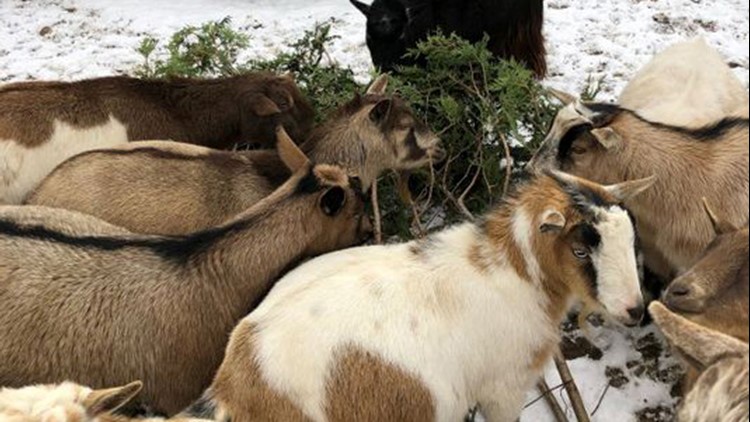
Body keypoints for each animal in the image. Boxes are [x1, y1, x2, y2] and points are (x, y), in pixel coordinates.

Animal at [180, 171, 653, 422]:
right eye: (580, 251)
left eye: (631, 237)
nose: (635, 310)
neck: (511, 273)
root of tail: (236, 382)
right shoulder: (502, 388)